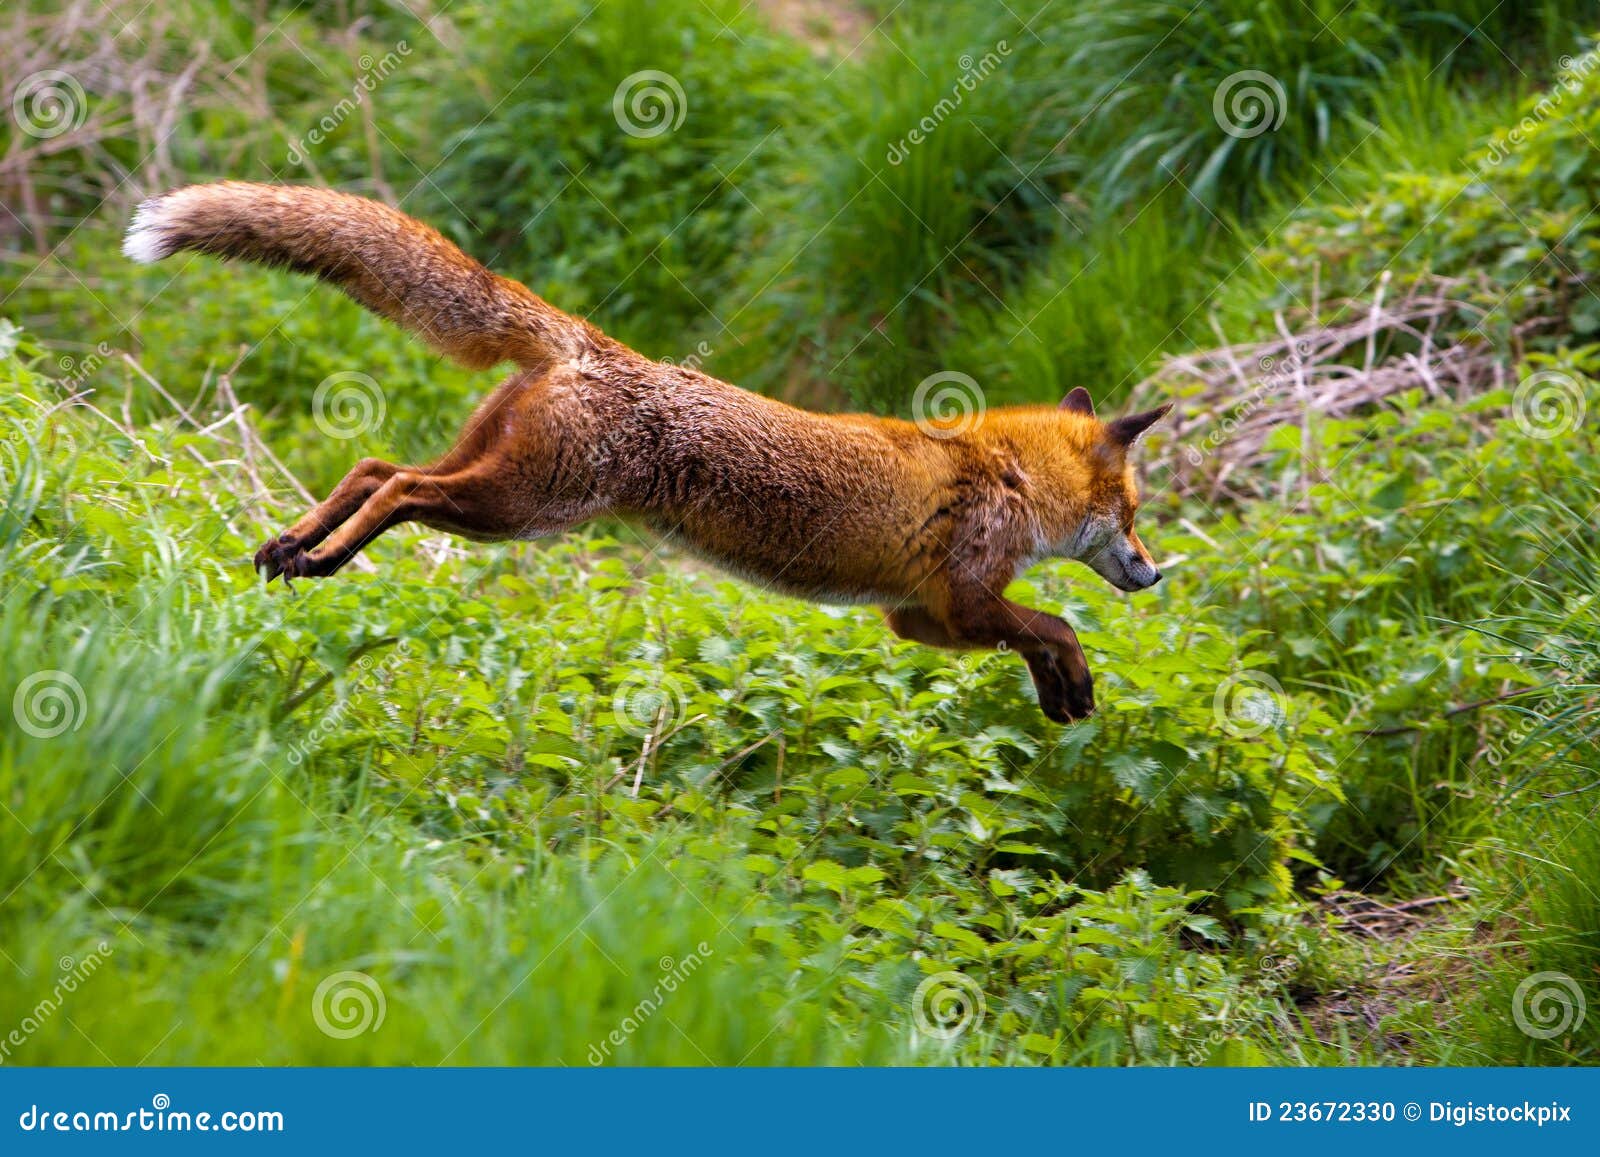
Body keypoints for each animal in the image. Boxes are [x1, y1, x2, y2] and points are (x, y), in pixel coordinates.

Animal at [122, 182, 1171, 723]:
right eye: (1131, 516)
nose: (1155, 573)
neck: (1006, 474)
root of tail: (597, 344)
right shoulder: (958, 598)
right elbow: (1054, 621)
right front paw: (1074, 683)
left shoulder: (919, 619)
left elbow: (1035, 630)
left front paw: (1060, 695)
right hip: (516, 509)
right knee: (402, 487)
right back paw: (324, 557)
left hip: (498, 488)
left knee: (373, 469)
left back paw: (292, 549)